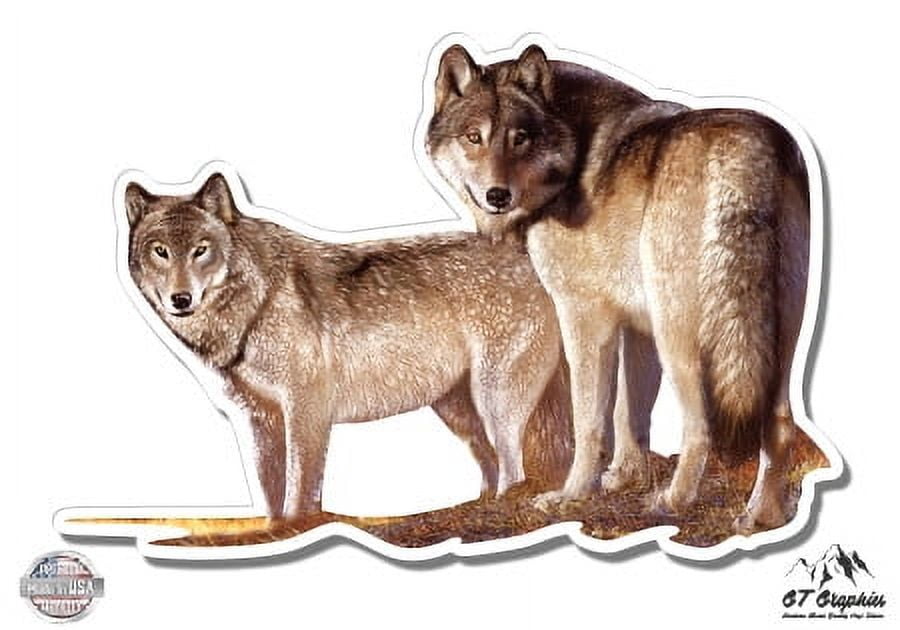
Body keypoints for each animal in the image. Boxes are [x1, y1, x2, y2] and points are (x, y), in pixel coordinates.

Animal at [125, 172, 573, 520]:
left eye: (201, 250)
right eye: (160, 252)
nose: (180, 299)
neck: (257, 302)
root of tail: (529, 259)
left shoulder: (307, 410)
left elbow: (300, 490)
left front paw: (296, 529)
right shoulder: (257, 419)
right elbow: (270, 496)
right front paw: (270, 534)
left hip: (493, 401)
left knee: (514, 471)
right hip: (459, 411)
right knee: (493, 466)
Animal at [426, 43, 810, 532]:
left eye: (520, 137)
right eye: (473, 137)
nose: (497, 196)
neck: (573, 140)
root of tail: (747, 148)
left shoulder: (583, 315)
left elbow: (590, 419)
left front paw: (573, 494)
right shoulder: (634, 327)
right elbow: (631, 413)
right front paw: (623, 478)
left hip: (679, 335)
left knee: (700, 425)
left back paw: (672, 501)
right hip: (777, 336)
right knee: (780, 422)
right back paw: (764, 517)